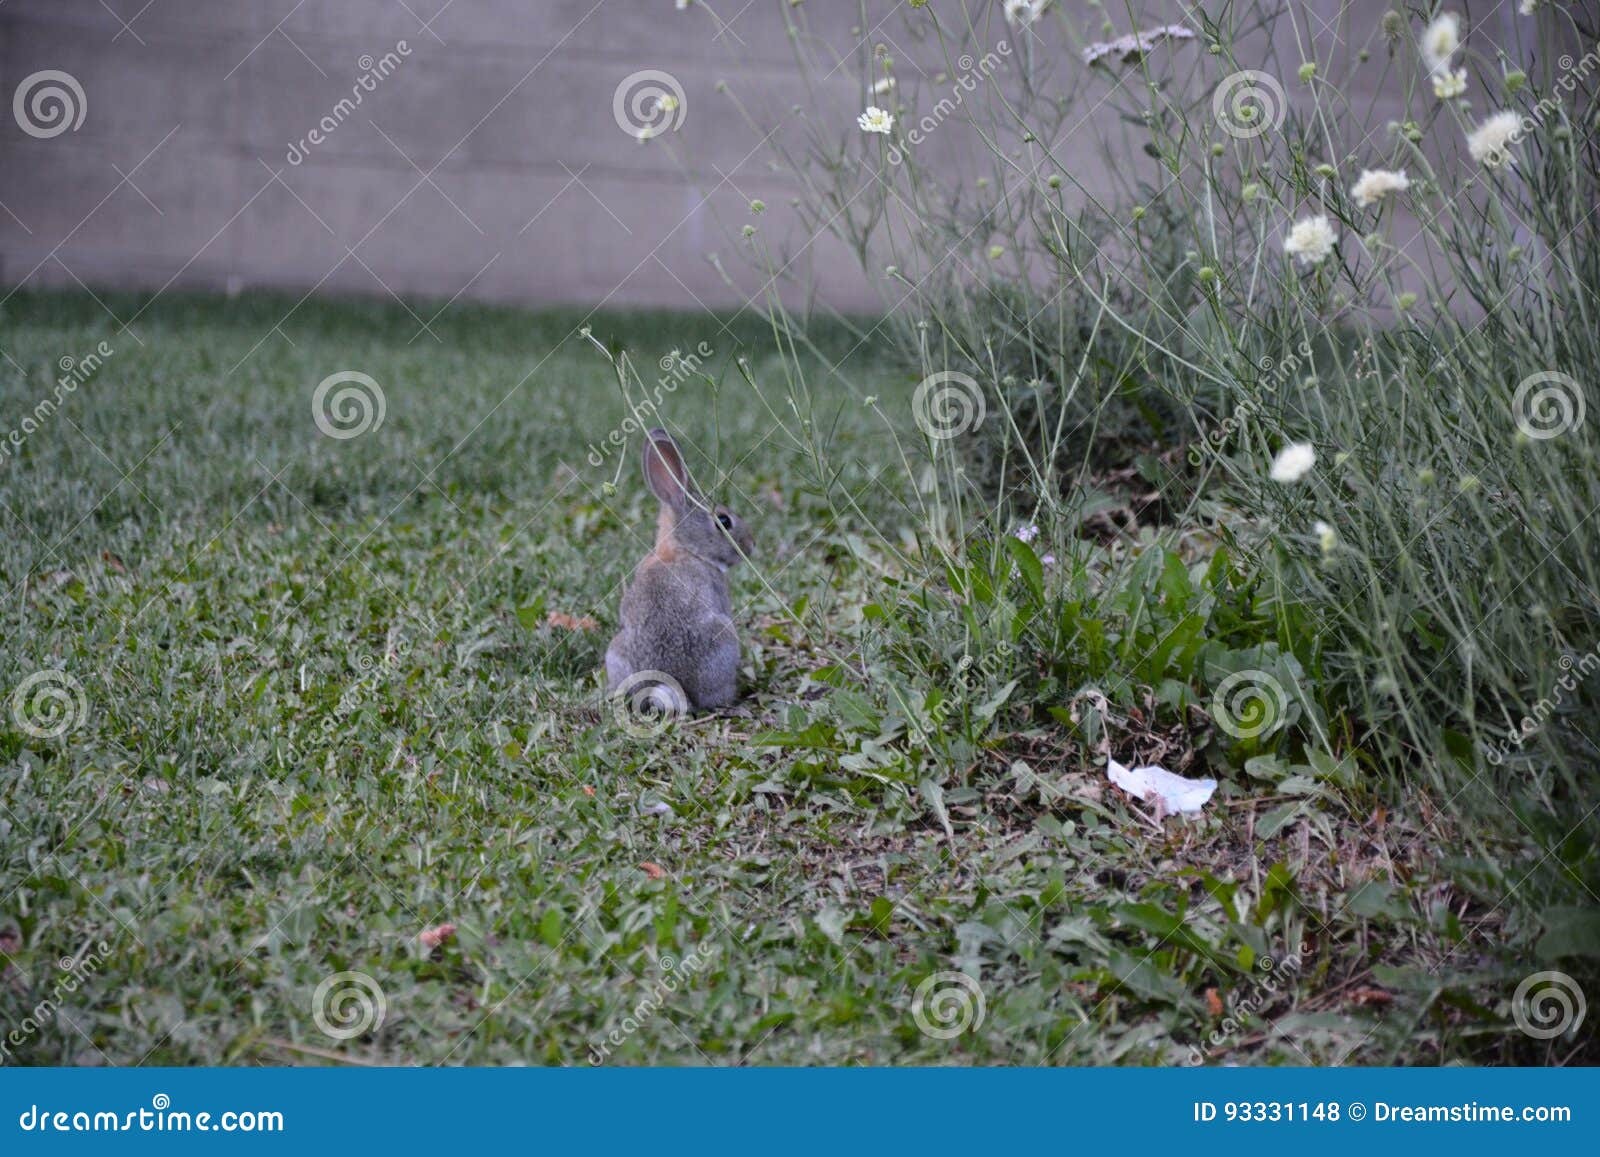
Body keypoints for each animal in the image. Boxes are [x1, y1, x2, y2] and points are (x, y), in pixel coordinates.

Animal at [605, 427, 754, 712]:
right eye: (723, 521)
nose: (750, 545)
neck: (683, 548)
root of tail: (665, 684)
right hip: (726, 640)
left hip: (615, 651)